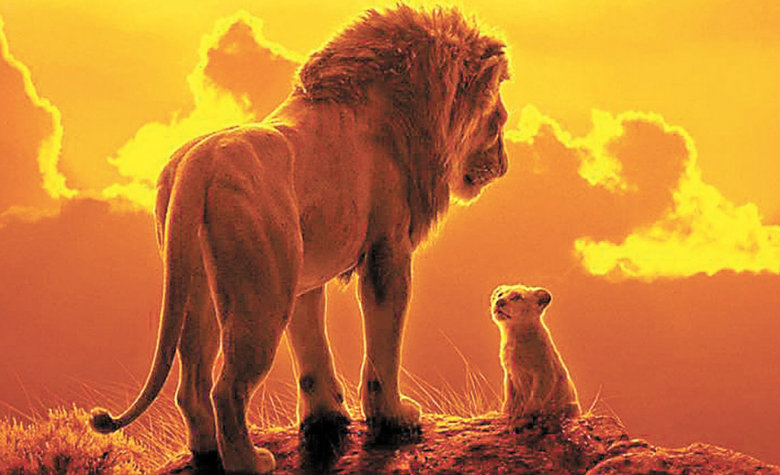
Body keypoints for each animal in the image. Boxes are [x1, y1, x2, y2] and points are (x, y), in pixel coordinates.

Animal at [90, 5, 510, 474]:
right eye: (498, 122)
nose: (504, 165)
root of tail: (198, 164)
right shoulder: (388, 250)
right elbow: (384, 343)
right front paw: (394, 418)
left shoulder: (305, 273)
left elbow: (311, 348)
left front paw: (326, 418)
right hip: (261, 297)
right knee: (227, 389)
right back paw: (251, 462)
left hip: (197, 289)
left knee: (193, 384)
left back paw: (207, 453)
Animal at [491, 284, 581, 426]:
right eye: (500, 294)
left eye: (517, 297)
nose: (499, 302)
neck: (514, 335)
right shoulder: (509, 374)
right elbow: (509, 395)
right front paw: (507, 412)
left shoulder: (545, 373)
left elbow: (536, 396)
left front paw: (527, 415)